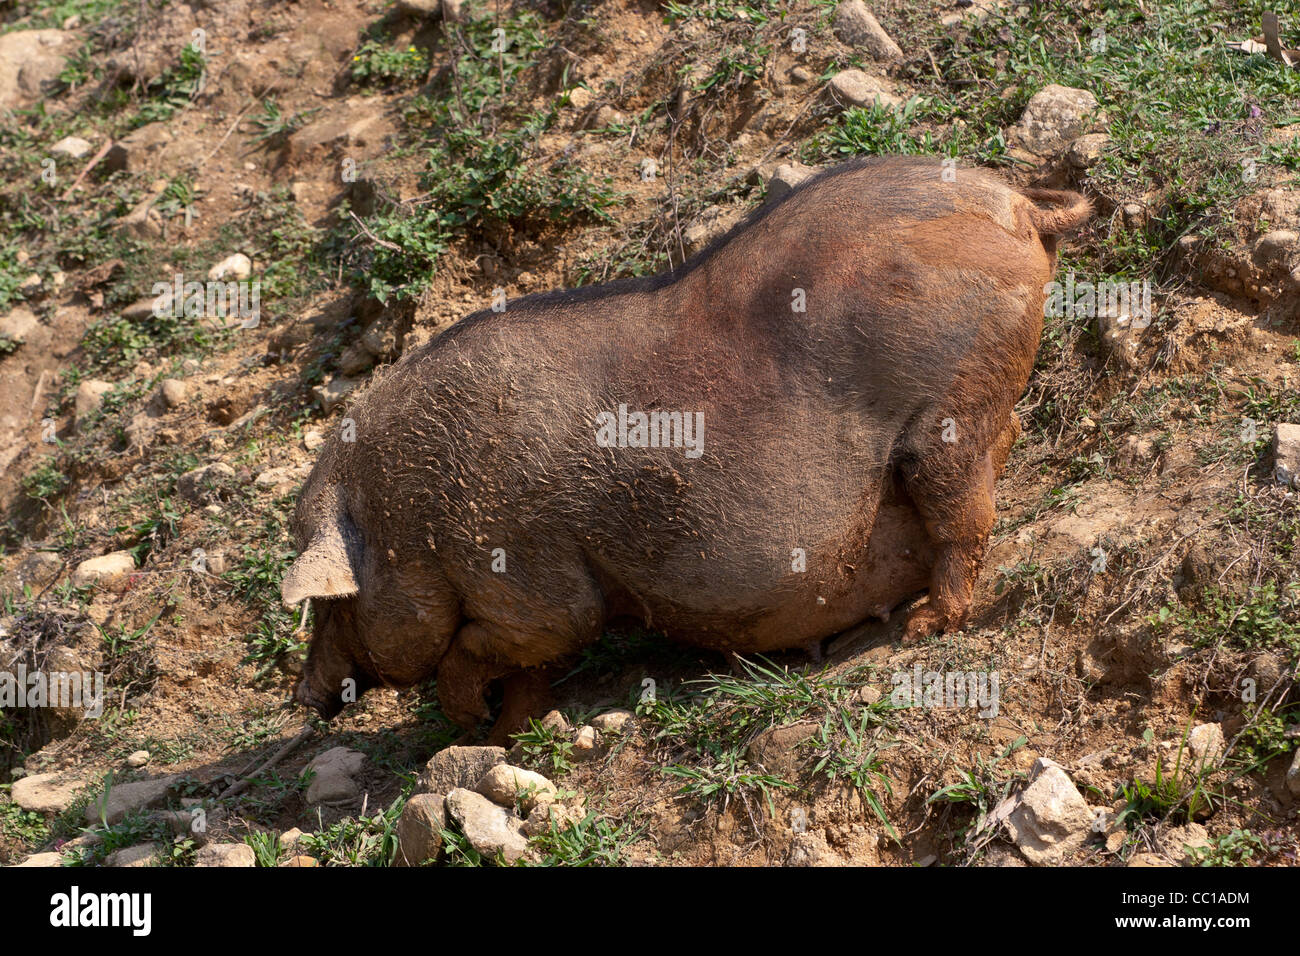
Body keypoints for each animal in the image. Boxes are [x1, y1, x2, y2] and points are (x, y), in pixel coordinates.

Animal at [281, 155, 1090, 739]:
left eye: (329, 606)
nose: (303, 696)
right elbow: (527, 674)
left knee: (965, 519)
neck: (405, 520)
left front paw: (469, 721)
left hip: (948, 412)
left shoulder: (531, 583)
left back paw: (927, 627)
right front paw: (510, 732)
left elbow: (504, 643)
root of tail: (1016, 202)